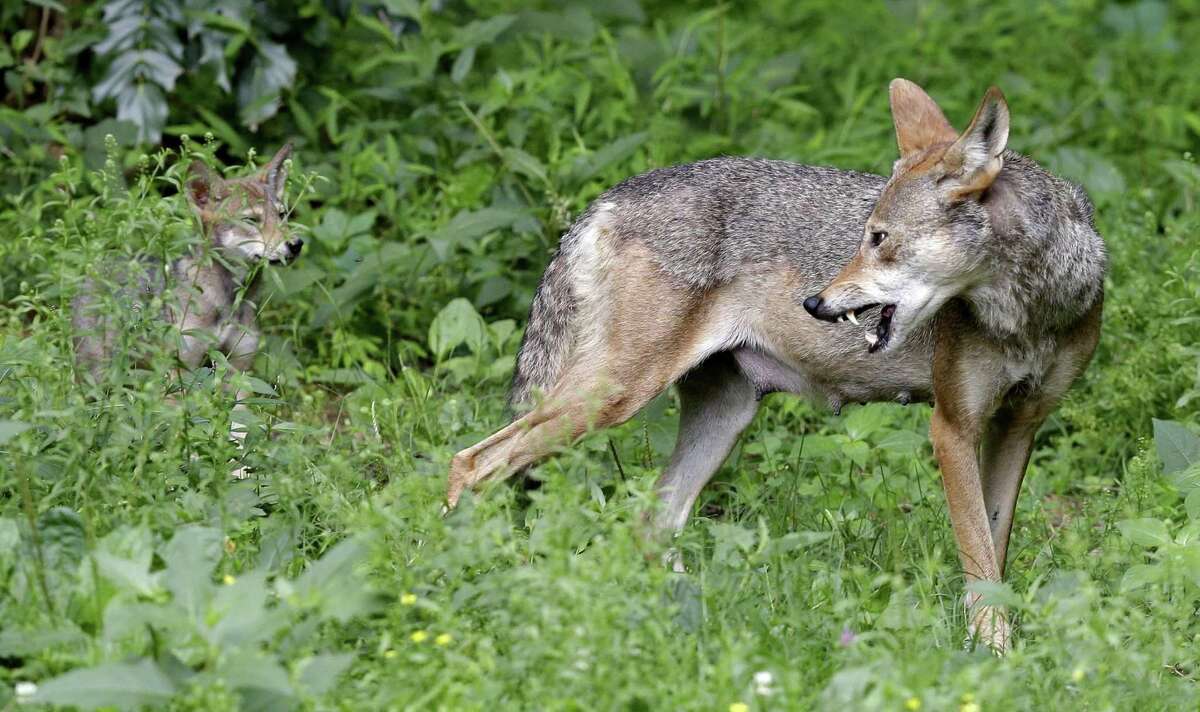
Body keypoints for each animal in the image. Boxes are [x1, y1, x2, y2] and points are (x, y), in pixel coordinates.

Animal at [73, 144, 302, 476]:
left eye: (282, 215)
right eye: (251, 220)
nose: (296, 244)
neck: (227, 301)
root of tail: (98, 265)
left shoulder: (238, 371)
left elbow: (238, 433)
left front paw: (238, 475)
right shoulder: (180, 373)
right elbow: (187, 432)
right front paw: (186, 471)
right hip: (99, 377)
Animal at [447, 80, 1106, 651]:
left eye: (878, 239)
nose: (815, 302)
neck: (1033, 310)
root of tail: (607, 198)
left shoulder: (1018, 425)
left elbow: (994, 550)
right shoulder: (951, 427)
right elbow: (979, 560)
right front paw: (993, 655)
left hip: (722, 419)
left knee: (651, 522)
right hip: (608, 401)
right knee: (470, 463)